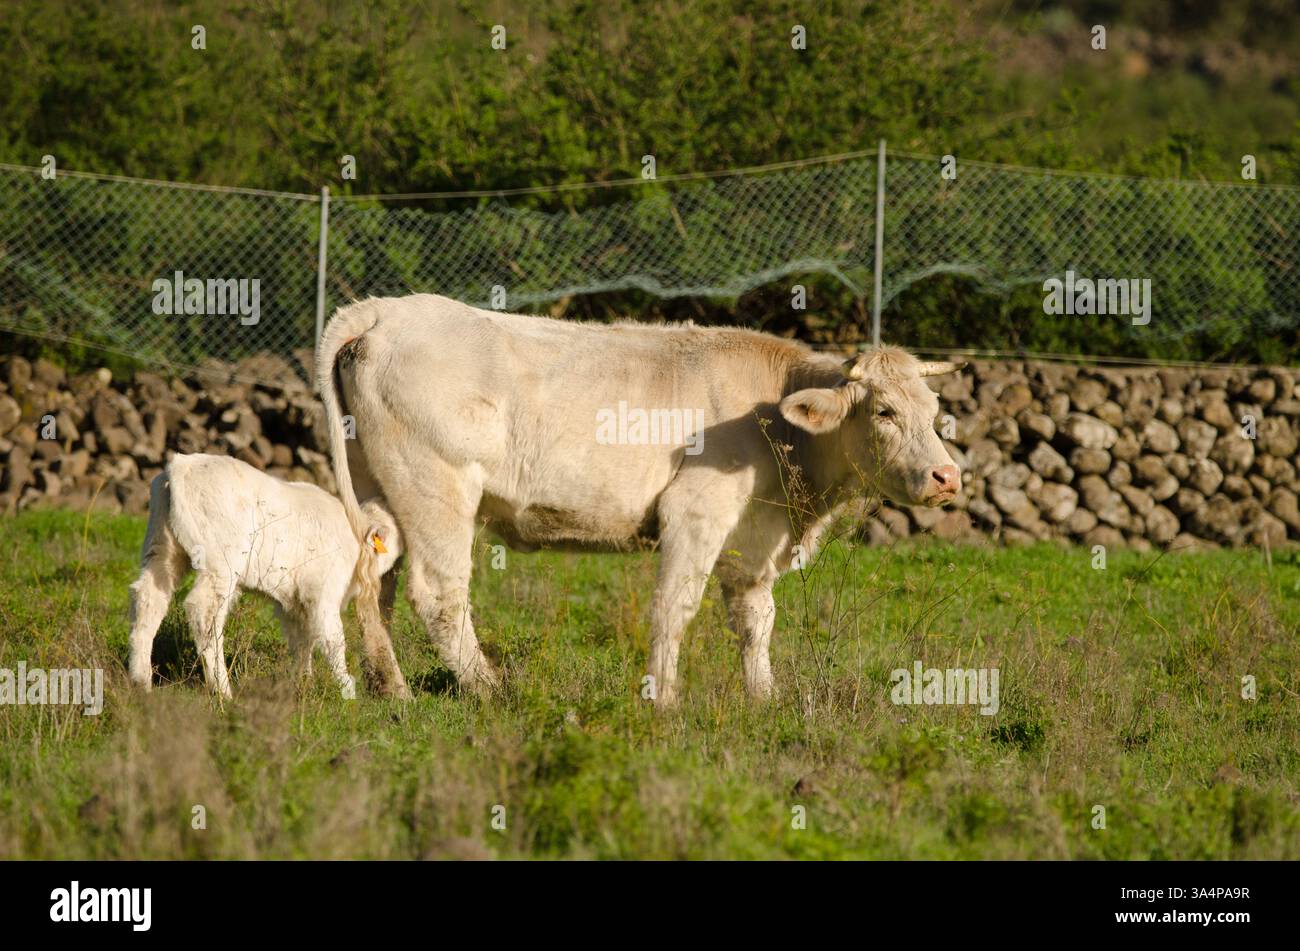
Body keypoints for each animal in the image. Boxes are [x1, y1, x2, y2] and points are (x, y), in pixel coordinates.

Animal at [126, 453, 403, 698]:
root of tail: (182, 463)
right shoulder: (322, 593)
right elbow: (332, 639)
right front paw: (346, 689)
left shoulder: (293, 602)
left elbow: (302, 641)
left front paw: (303, 683)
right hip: (221, 563)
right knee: (203, 611)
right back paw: (223, 691)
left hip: (161, 548)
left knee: (148, 599)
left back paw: (141, 683)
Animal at [316, 294, 963, 707]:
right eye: (885, 411)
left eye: (935, 410)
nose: (947, 476)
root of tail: (385, 309)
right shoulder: (696, 512)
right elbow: (674, 609)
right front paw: (664, 700)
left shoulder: (754, 537)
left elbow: (756, 619)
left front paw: (764, 698)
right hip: (438, 486)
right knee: (439, 593)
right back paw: (492, 690)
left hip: (381, 491)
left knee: (376, 582)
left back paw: (392, 689)